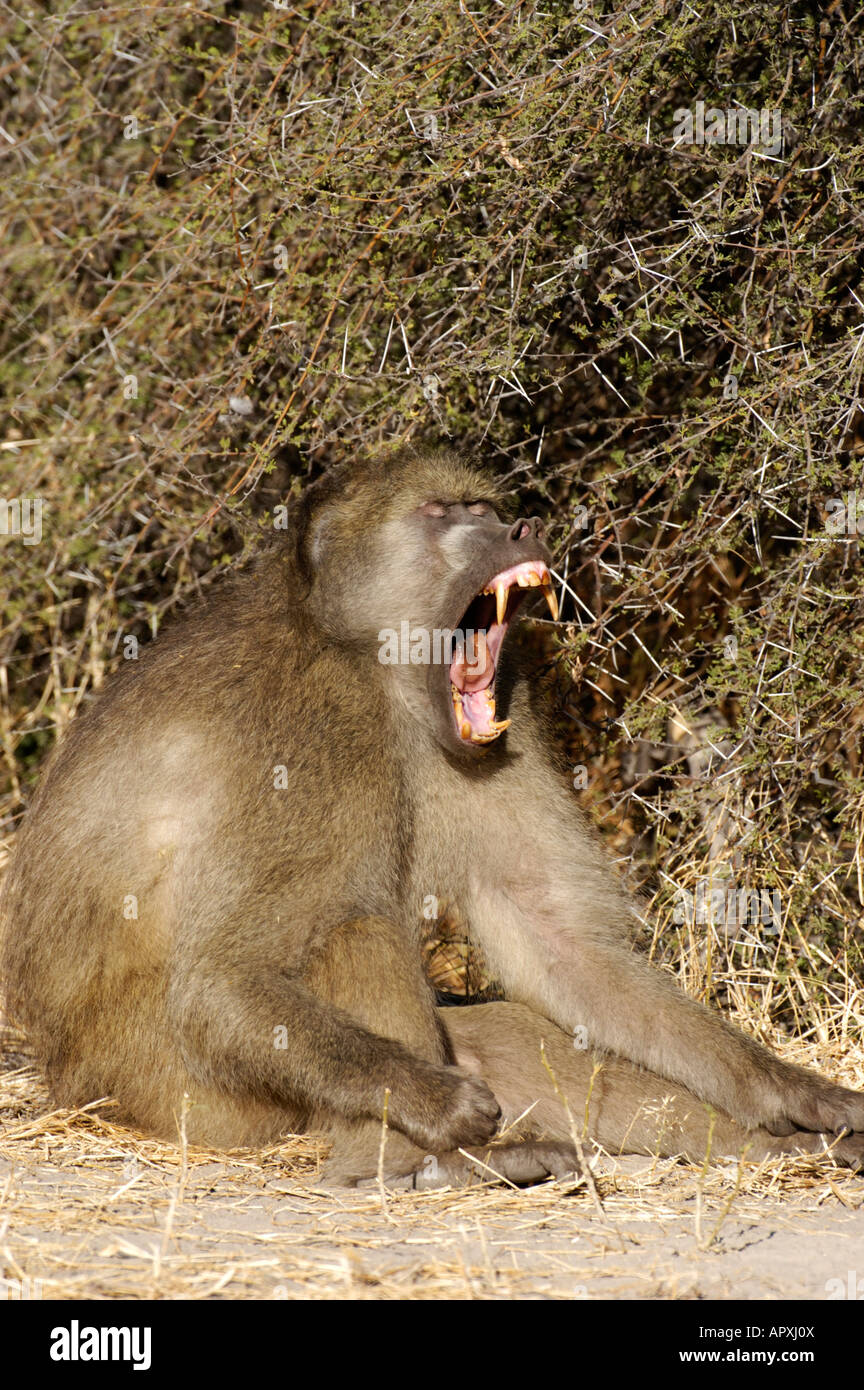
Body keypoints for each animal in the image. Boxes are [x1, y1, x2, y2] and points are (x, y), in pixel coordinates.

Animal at [2, 445, 863, 1188]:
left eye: (487, 508)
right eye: (442, 513)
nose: (521, 529)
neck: (372, 665)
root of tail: (64, 1078)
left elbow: (564, 950)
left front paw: (792, 1096)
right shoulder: (306, 732)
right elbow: (223, 981)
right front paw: (437, 1107)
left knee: (513, 1029)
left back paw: (781, 1149)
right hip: (177, 1094)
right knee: (349, 928)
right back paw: (402, 1166)